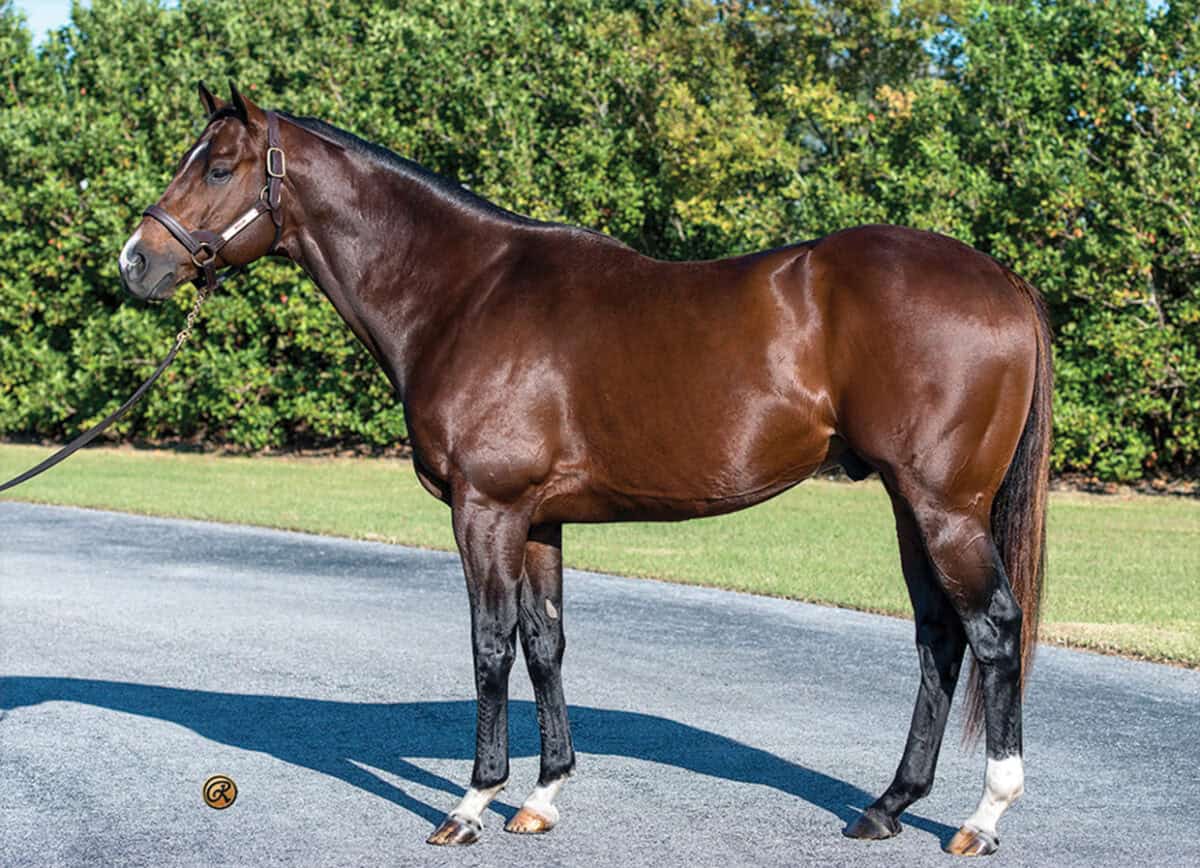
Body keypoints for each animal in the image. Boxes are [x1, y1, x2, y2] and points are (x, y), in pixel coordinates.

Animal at [119, 83, 1051, 857]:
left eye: (220, 166)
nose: (136, 262)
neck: (464, 293)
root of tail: (1002, 280)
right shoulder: (537, 518)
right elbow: (545, 643)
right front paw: (541, 798)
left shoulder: (486, 509)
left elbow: (490, 645)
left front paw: (471, 803)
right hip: (909, 505)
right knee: (939, 638)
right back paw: (888, 806)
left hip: (943, 506)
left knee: (993, 630)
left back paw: (981, 817)